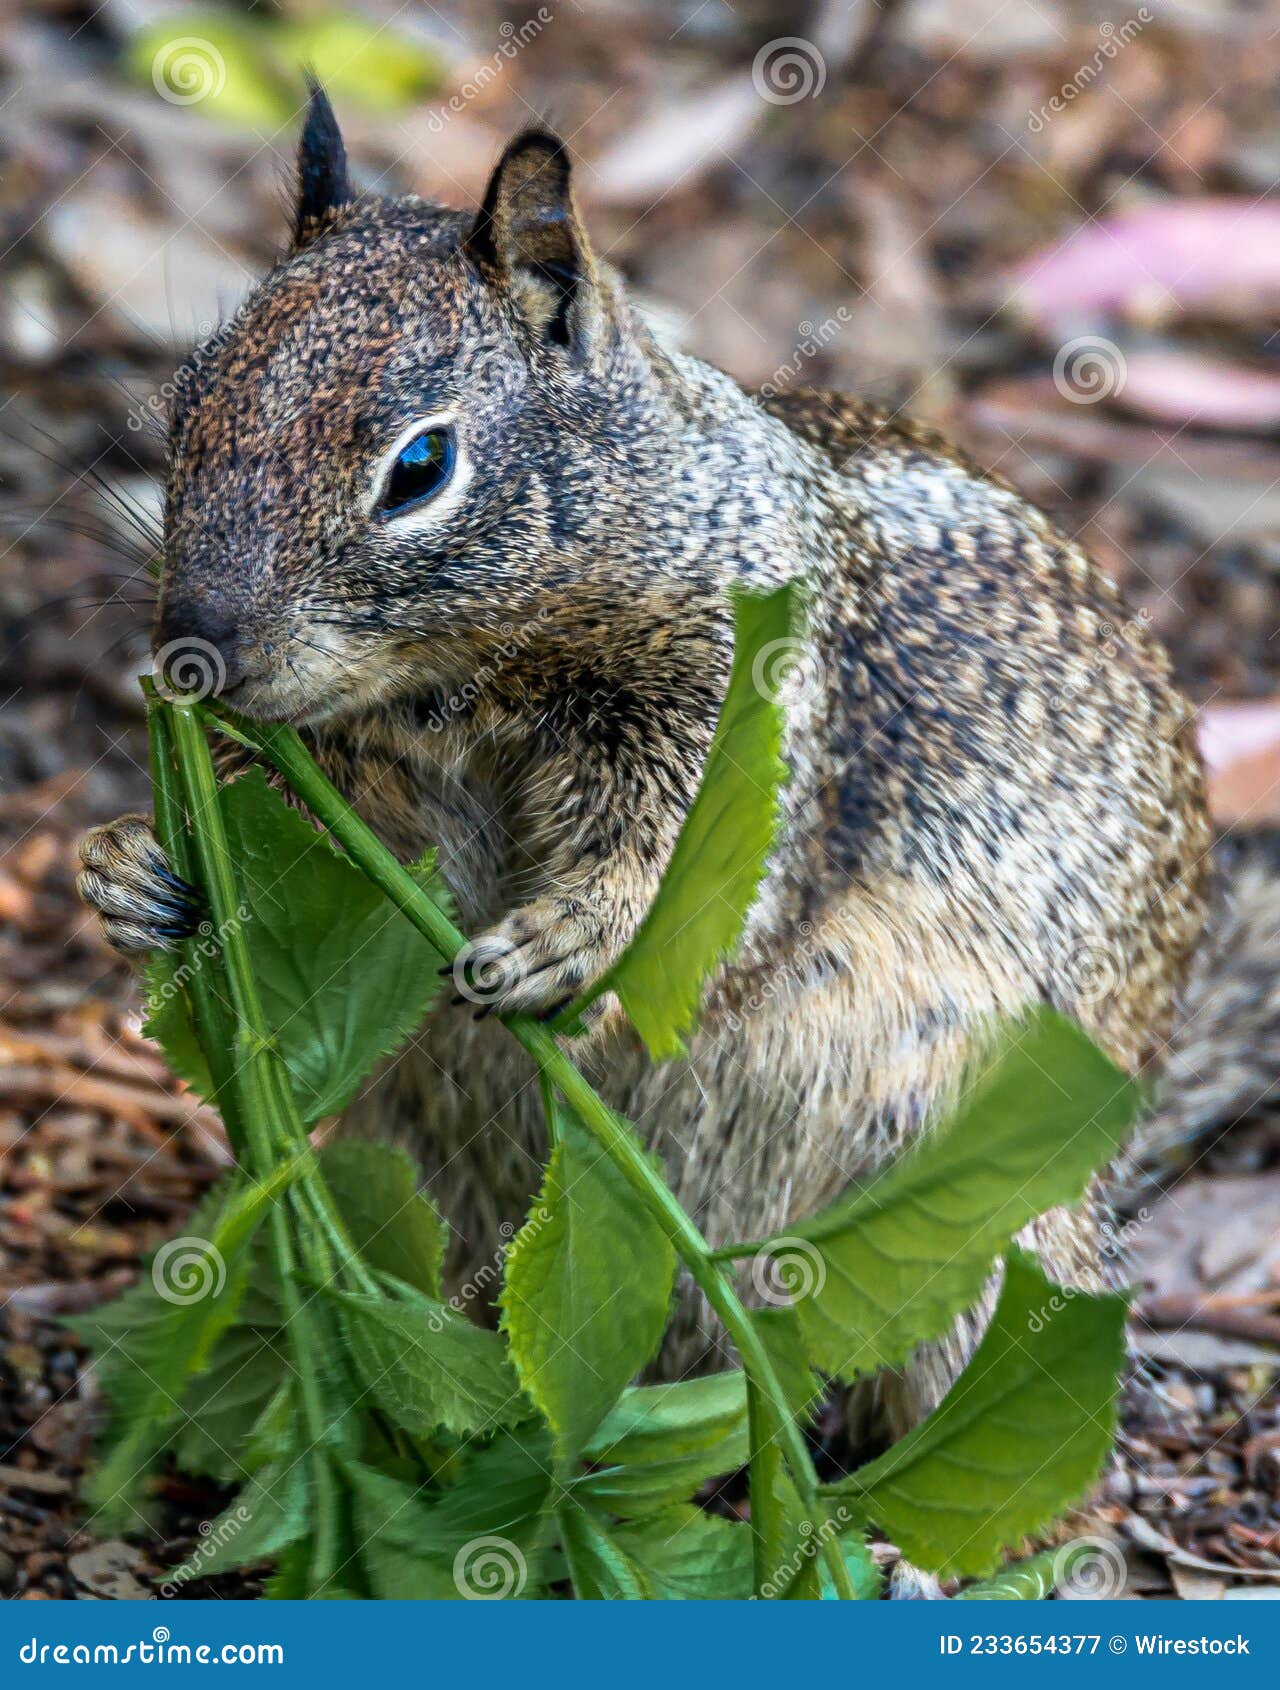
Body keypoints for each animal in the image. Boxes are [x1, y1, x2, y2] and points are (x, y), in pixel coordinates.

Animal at [77, 89, 1277, 1435]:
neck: (469, 691)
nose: (193, 652)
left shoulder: (744, 712)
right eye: (185, 404)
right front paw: (129, 866)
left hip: (978, 1236)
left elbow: (687, 883)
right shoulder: (377, 779)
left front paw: (568, 941)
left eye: (420, 467)